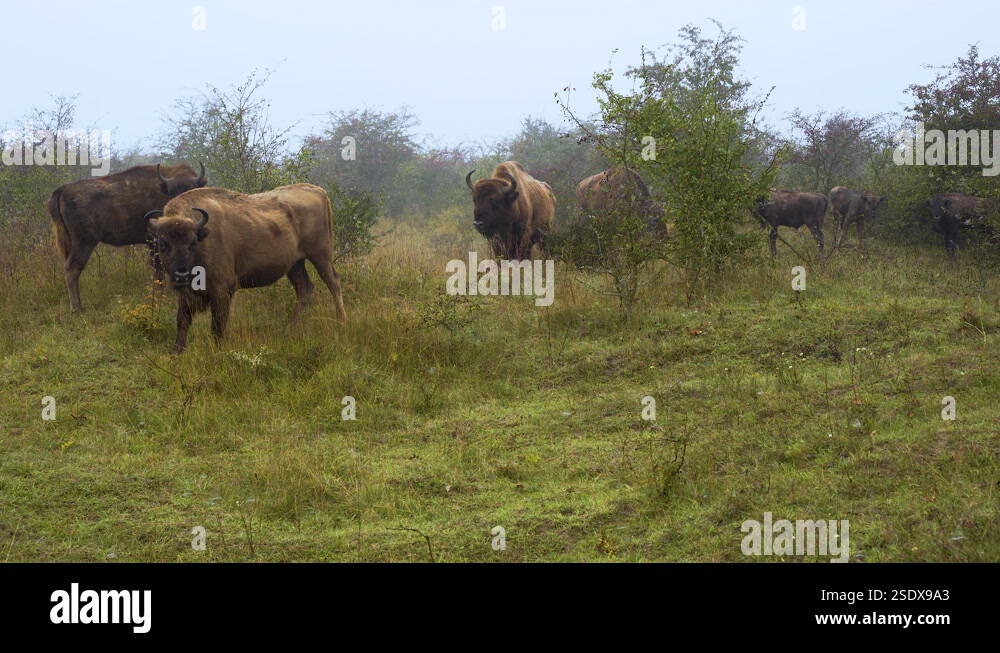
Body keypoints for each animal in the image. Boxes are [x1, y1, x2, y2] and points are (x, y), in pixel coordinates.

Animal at [48, 163, 207, 312]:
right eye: (172, 192)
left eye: (191, 189)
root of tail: (63, 189)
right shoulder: (156, 241)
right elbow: (160, 267)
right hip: (84, 242)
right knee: (72, 269)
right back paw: (77, 309)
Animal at [145, 183, 347, 353]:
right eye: (163, 243)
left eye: (193, 242)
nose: (180, 274)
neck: (204, 236)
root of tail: (317, 190)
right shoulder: (186, 295)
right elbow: (182, 320)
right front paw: (176, 352)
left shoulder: (222, 291)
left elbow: (217, 325)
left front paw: (217, 350)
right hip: (295, 264)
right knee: (304, 288)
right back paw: (289, 329)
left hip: (321, 256)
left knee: (333, 283)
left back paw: (341, 322)